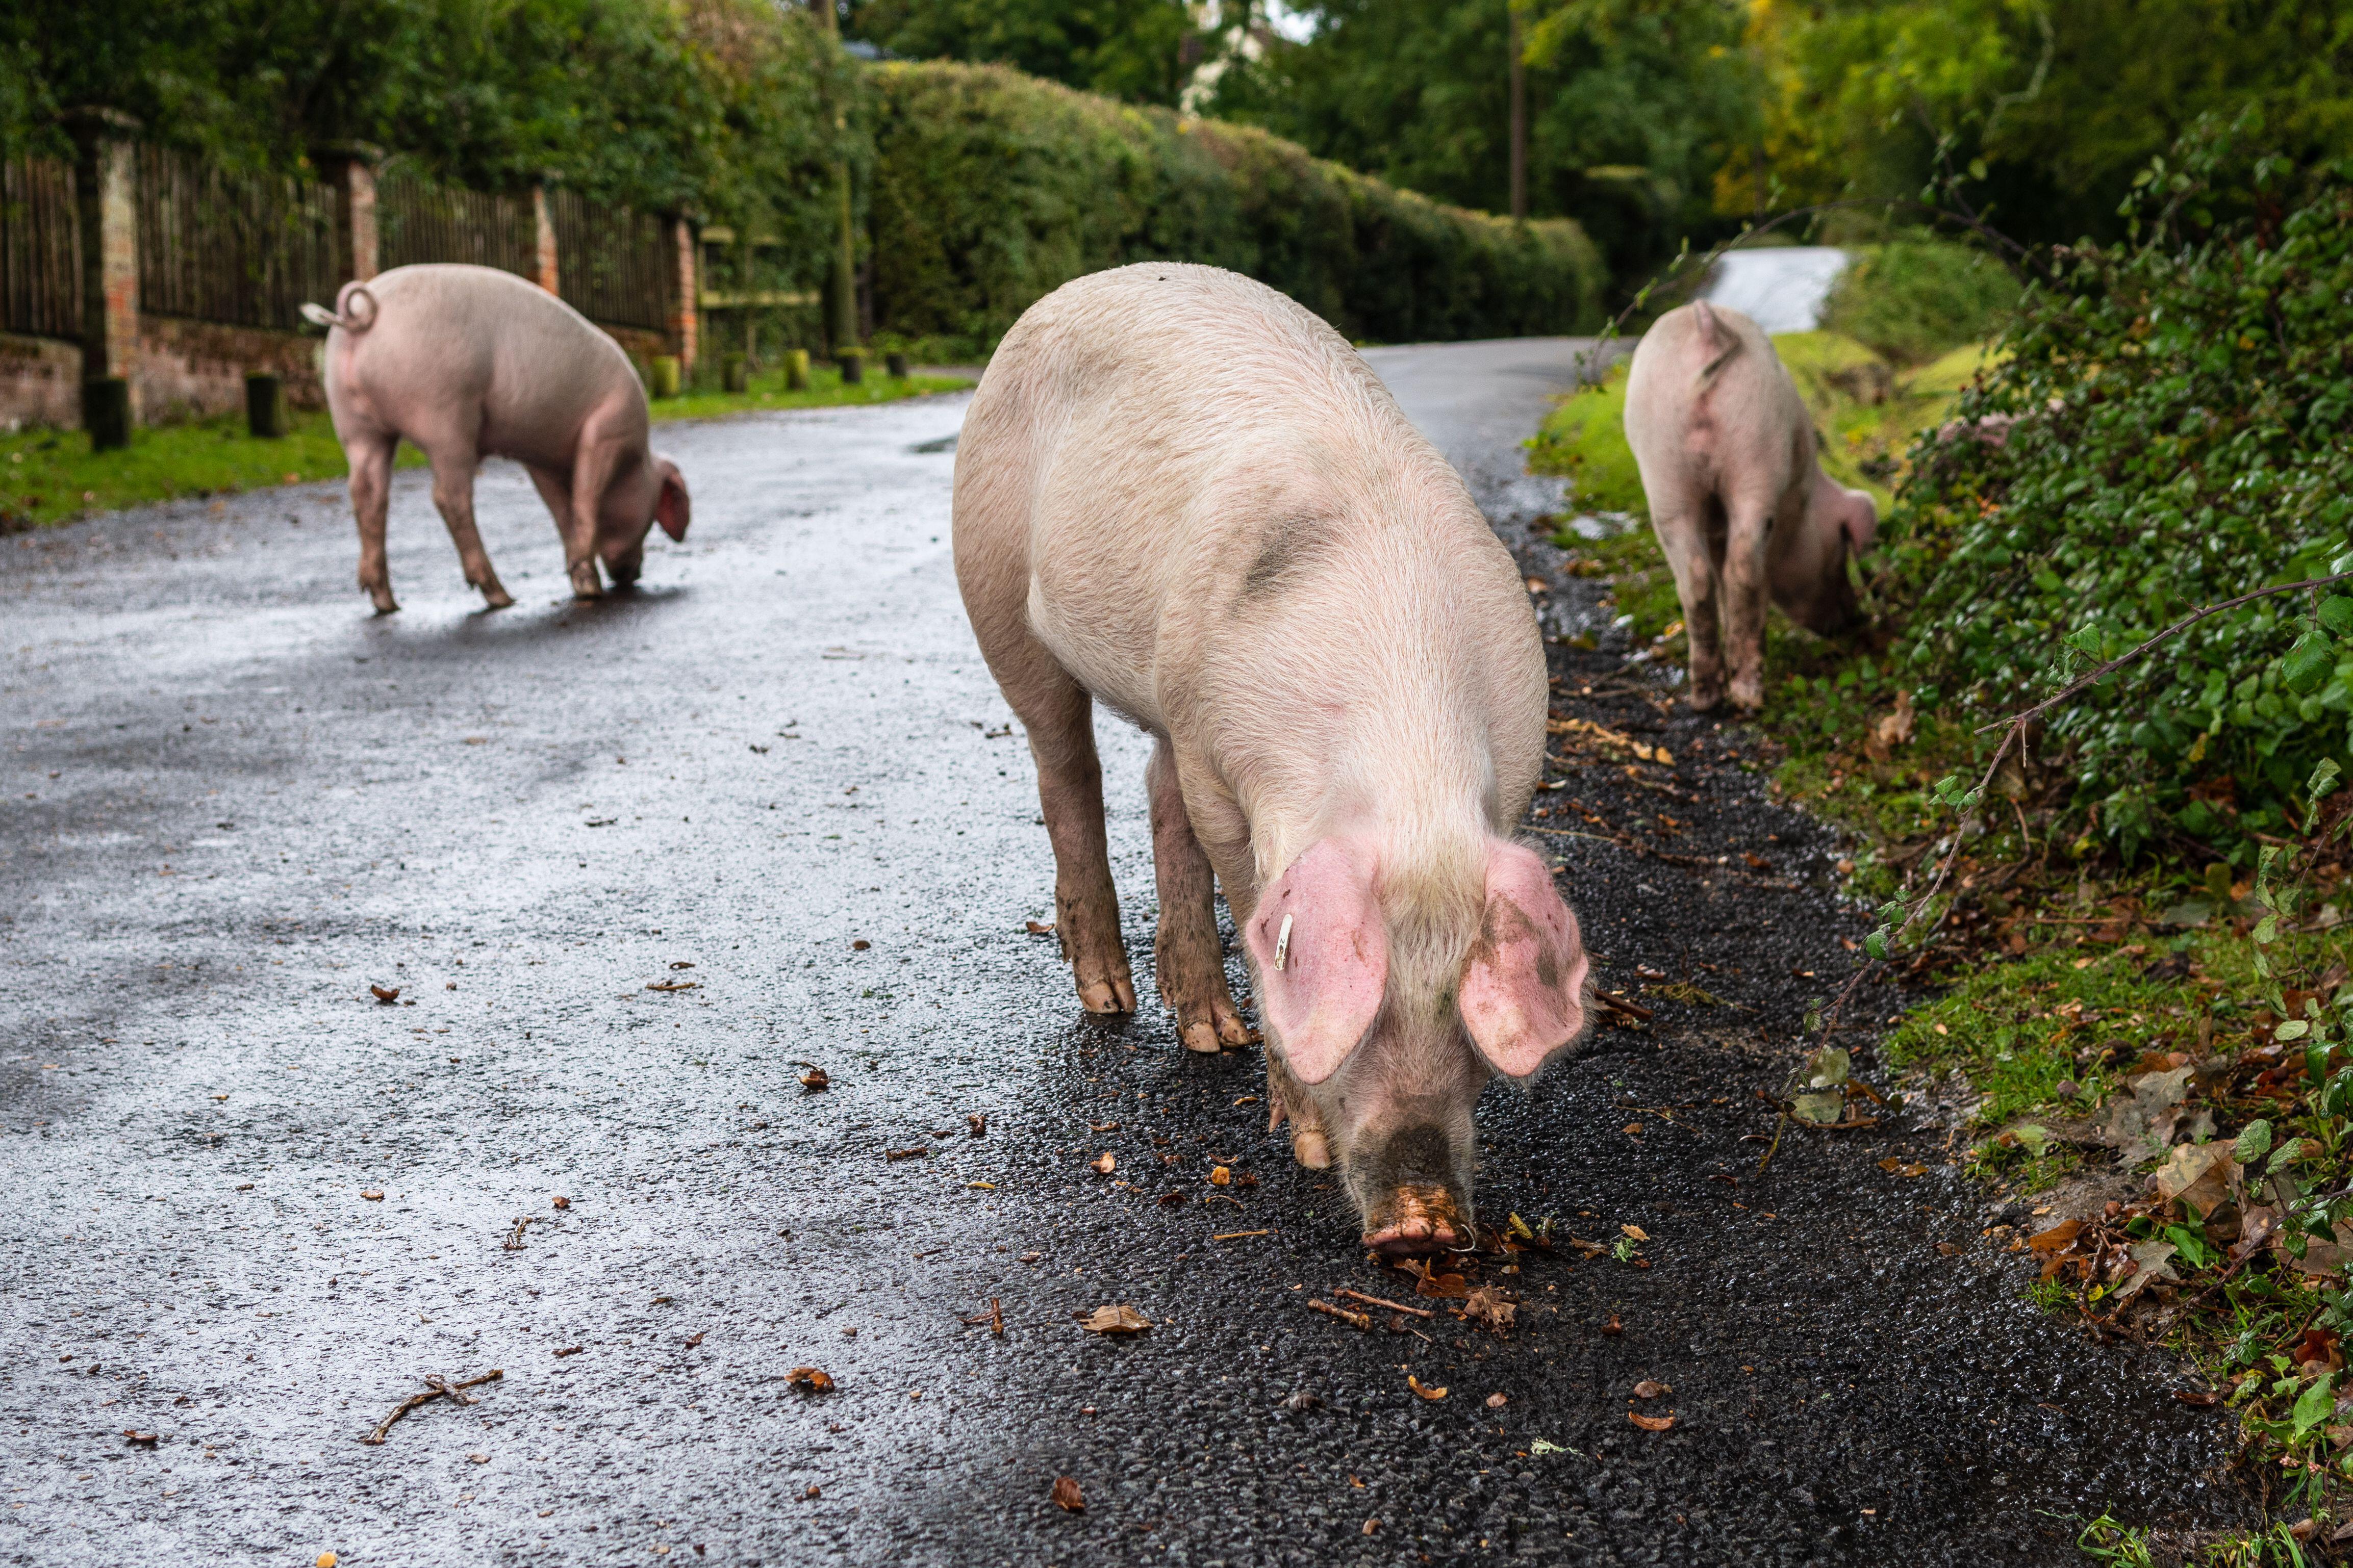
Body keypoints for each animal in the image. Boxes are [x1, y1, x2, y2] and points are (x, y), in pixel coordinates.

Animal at [301, 263, 689, 614]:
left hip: (355, 424)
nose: (634, 575)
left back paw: (387, 604)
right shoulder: (607, 432)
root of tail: (364, 316)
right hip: (445, 413)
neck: (636, 460)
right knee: (448, 497)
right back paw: (502, 597)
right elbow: (585, 500)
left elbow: (562, 511)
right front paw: (591, 591)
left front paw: (581, 582)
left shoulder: (541, 459)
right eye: (653, 512)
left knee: (367, 494)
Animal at [954, 263, 1591, 1255]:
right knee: (1067, 771)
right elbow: (1248, 898)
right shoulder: (1225, 771)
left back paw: (1210, 1034)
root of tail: (1077, 285)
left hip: (1168, 691)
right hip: (993, 584)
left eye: (1462, 1020)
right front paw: (1305, 1147)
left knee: (1153, 786)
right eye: (1363, 1015)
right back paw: (1109, 998)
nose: (1421, 1227)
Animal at [1621, 299, 1875, 711]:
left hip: (1665, 467)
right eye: (1839, 554)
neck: (1802, 501)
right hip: (1754, 448)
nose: (1854, 618)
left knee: (1697, 578)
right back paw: (1749, 696)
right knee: (1742, 568)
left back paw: (1707, 698)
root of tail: (1707, 328)